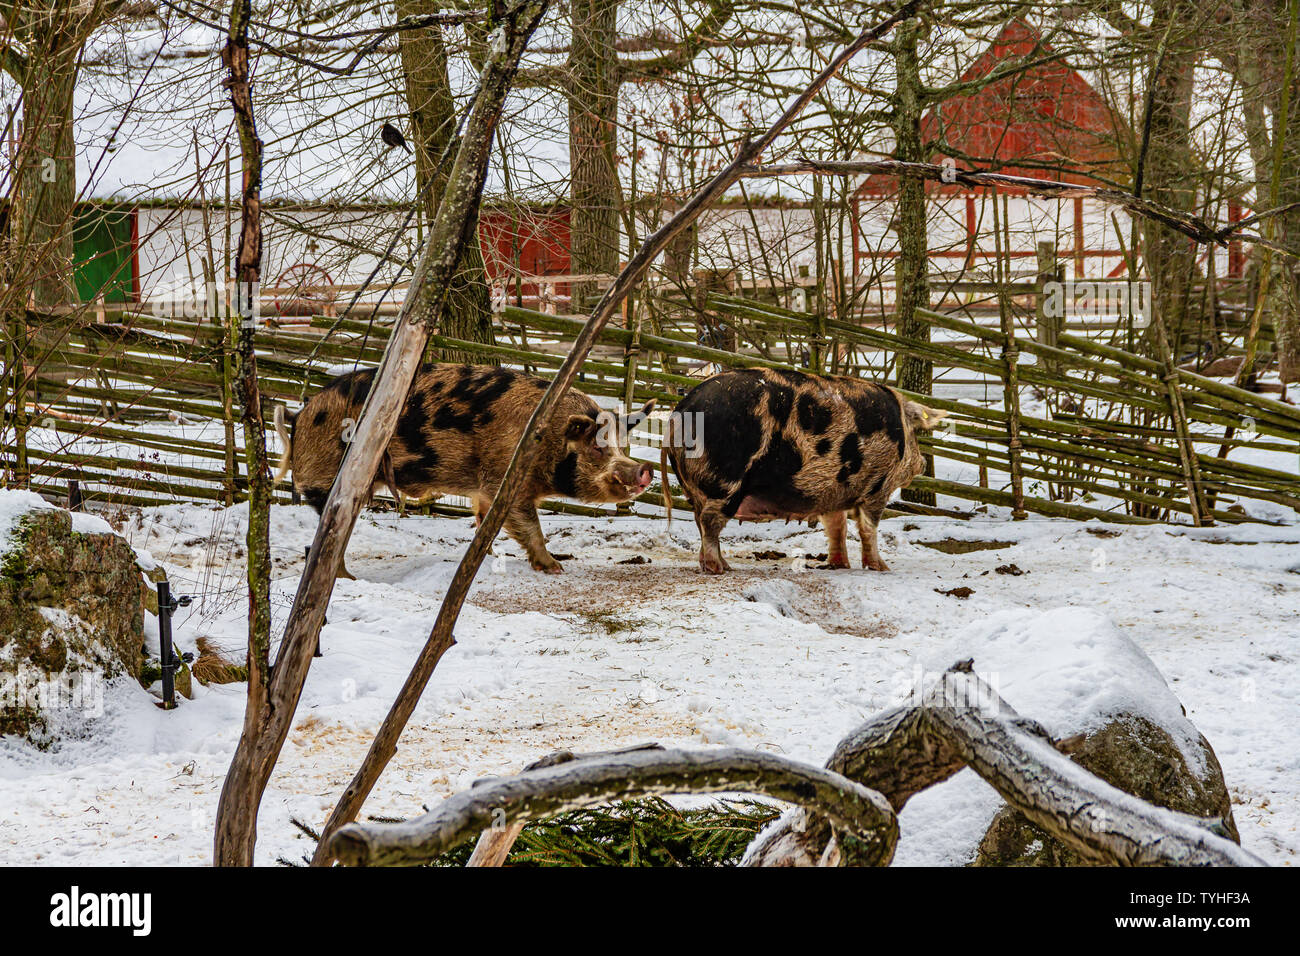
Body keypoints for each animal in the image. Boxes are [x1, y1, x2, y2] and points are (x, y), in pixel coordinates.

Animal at [275, 363, 655, 574]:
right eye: (596, 445)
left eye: (620, 443)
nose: (644, 470)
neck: (544, 440)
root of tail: (299, 415)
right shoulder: (506, 481)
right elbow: (530, 526)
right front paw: (555, 568)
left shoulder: (484, 490)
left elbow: (485, 520)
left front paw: (483, 554)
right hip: (329, 478)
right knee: (328, 536)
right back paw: (345, 576)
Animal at [659, 367, 948, 574]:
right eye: (914, 432)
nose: (922, 463)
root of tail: (679, 412)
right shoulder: (878, 487)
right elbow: (868, 528)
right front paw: (882, 568)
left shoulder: (833, 492)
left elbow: (836, 526)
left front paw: (839, 566)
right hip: (725, 481)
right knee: (710, 522)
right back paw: (718, 569)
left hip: (699, 488)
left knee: (701, 522)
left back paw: (724, 566)